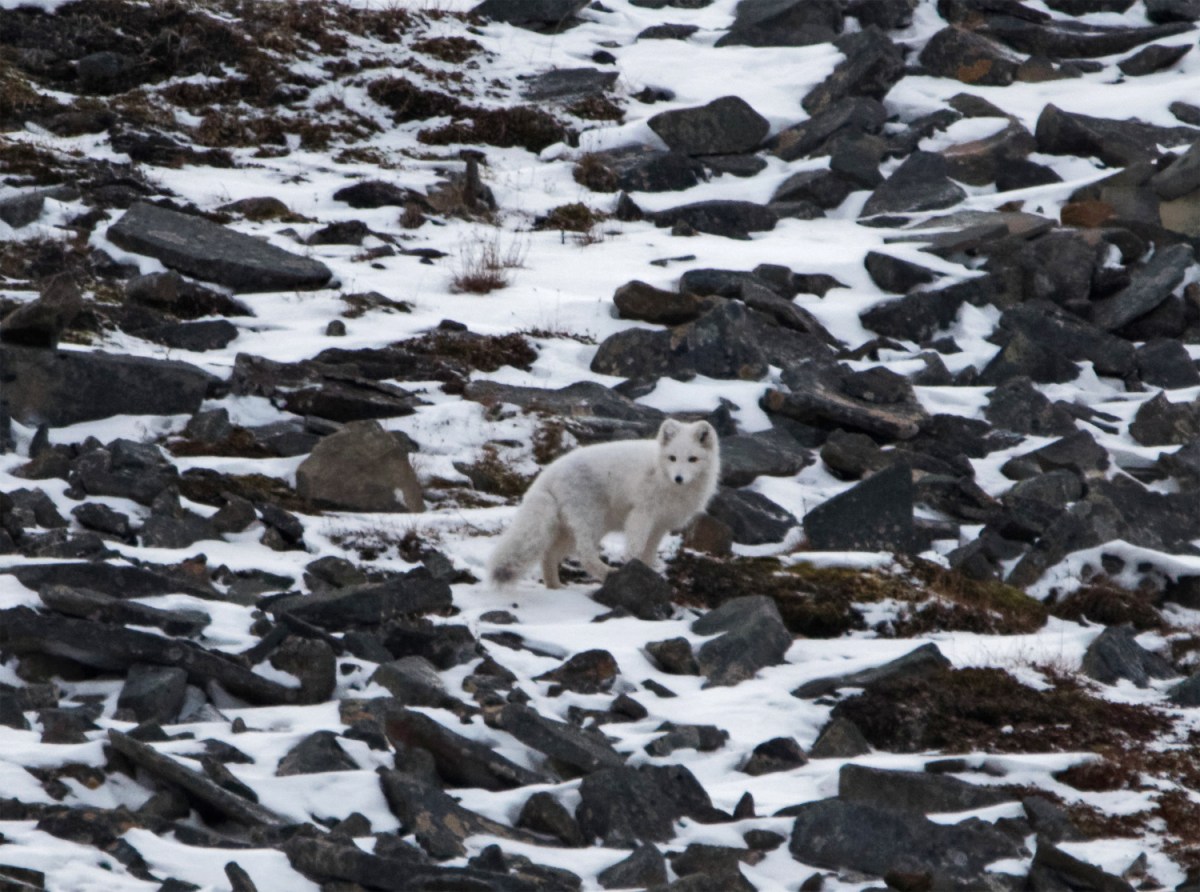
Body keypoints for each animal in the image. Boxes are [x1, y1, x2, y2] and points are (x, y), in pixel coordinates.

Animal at [487, 418, 720, 588]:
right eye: (672, 458)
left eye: (692, 459)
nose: (679, 478)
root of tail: (547, 475)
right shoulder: (641, 514)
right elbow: (635, 549)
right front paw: (635, 571)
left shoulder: (660, 526)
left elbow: (649, 554)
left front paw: (648, 572)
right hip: (592, 522)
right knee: (584, 555)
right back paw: (607, 573)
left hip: (570, 530)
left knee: (549, 555)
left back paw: (555, 587)